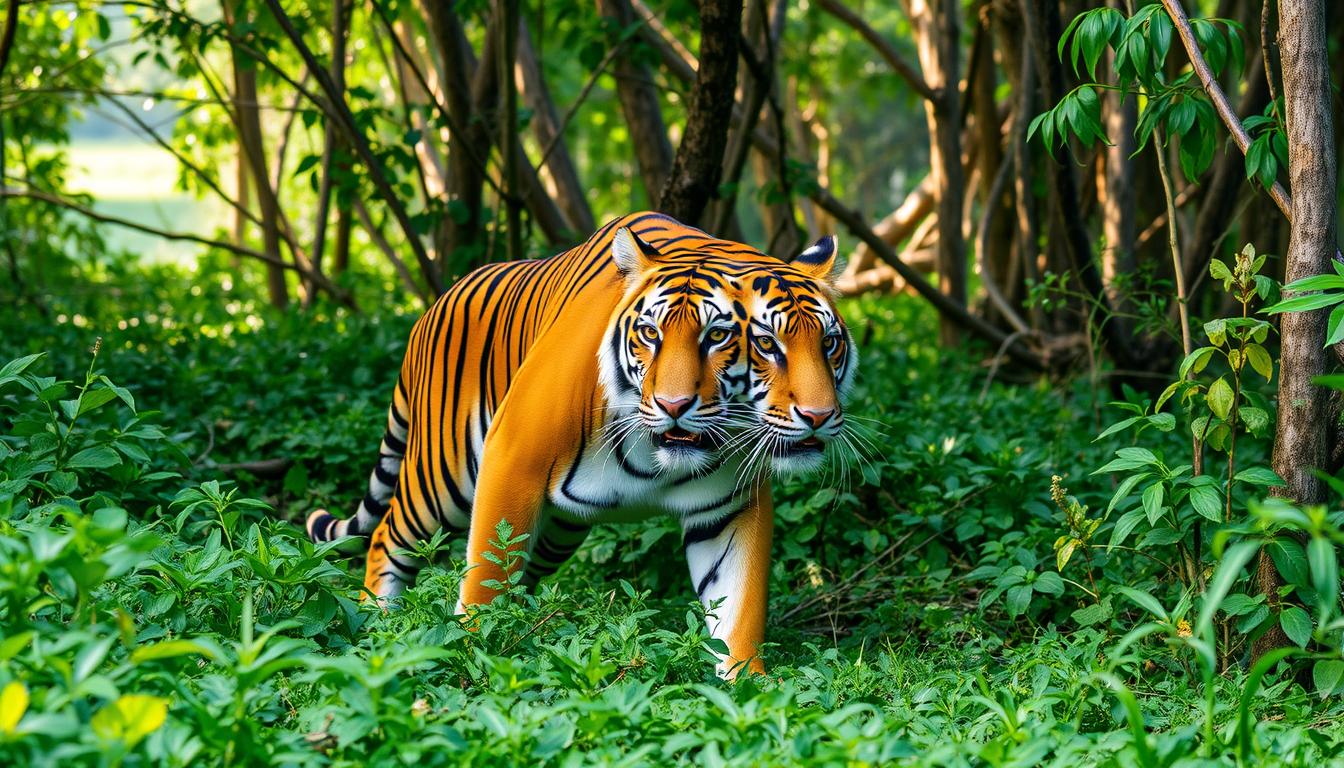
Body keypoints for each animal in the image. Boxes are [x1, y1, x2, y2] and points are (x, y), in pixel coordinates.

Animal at [306, 212, 856, 677]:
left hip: (562, 527)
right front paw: (473, 654)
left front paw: (749, 687)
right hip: (442, 481)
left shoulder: (729, 508)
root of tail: (431, 308)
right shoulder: (512, 460)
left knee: (524, 573)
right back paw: (376, 625)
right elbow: (486, 575)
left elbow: (738, 608)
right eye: (764, 344)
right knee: (387, 536)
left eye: (828, 343)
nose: (817, 416)